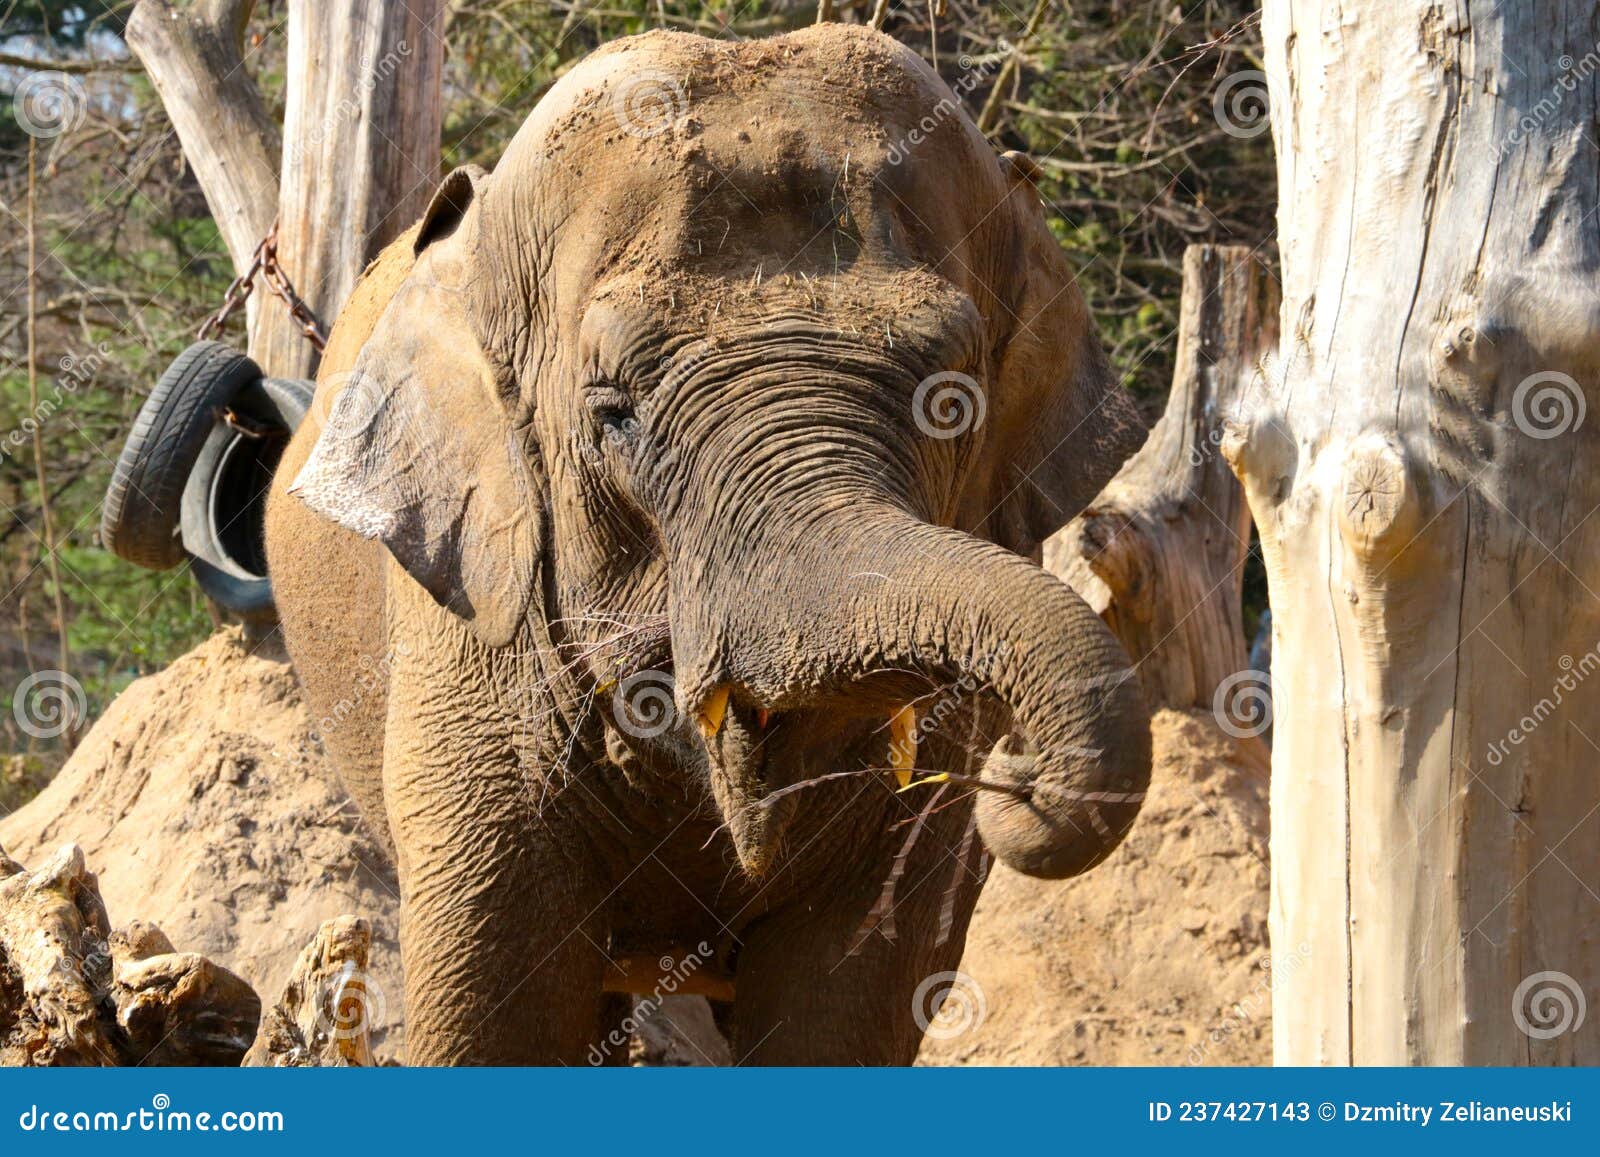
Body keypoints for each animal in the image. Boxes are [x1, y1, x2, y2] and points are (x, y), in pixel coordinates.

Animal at [264, 23, 1151, 1065]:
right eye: (613, 414)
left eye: (954, 403)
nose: (1014, 773)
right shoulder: (473, 629)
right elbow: (495, 1011)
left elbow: (846, 1005)